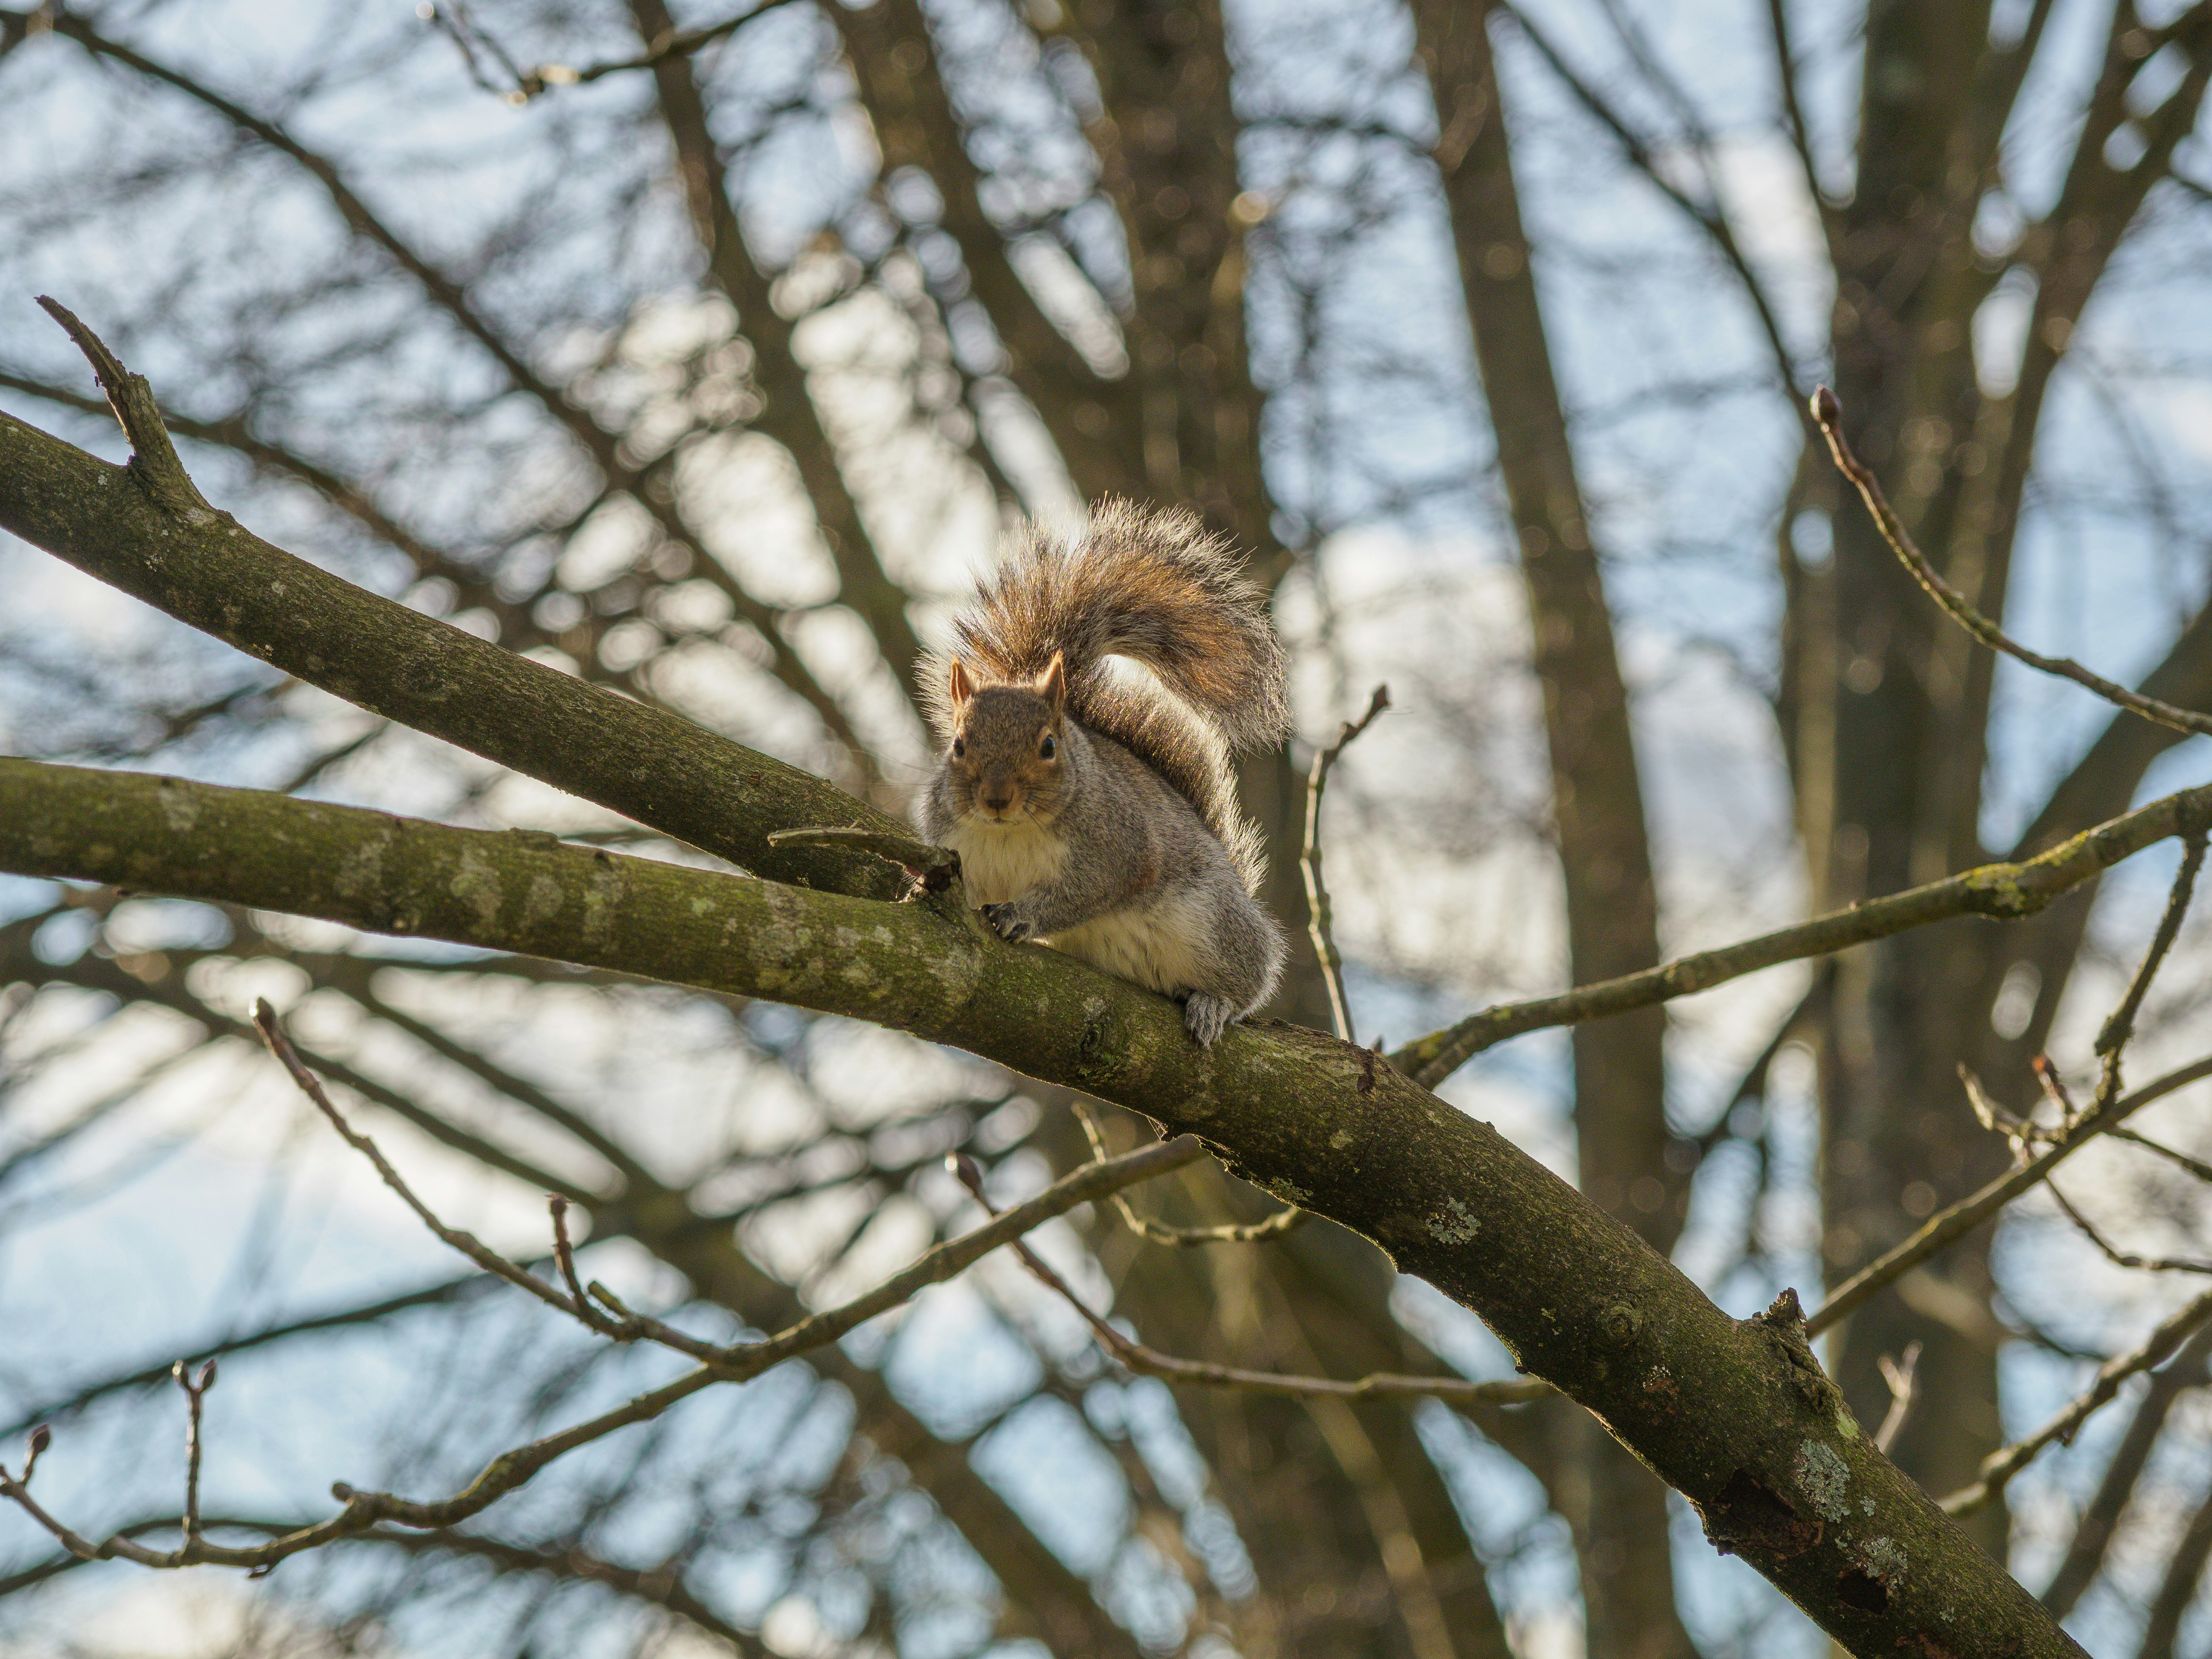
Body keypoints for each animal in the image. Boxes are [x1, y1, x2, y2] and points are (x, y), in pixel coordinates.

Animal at [917, 500, 1291, 1045]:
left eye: (1049, 746)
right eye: (958, 746)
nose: (997, 798)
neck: (1011, 832)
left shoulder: (1121, 848)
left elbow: (1088, 892)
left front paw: (1023, 914)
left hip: (1217, 927)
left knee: (1248, 980)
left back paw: (1213, 1004)